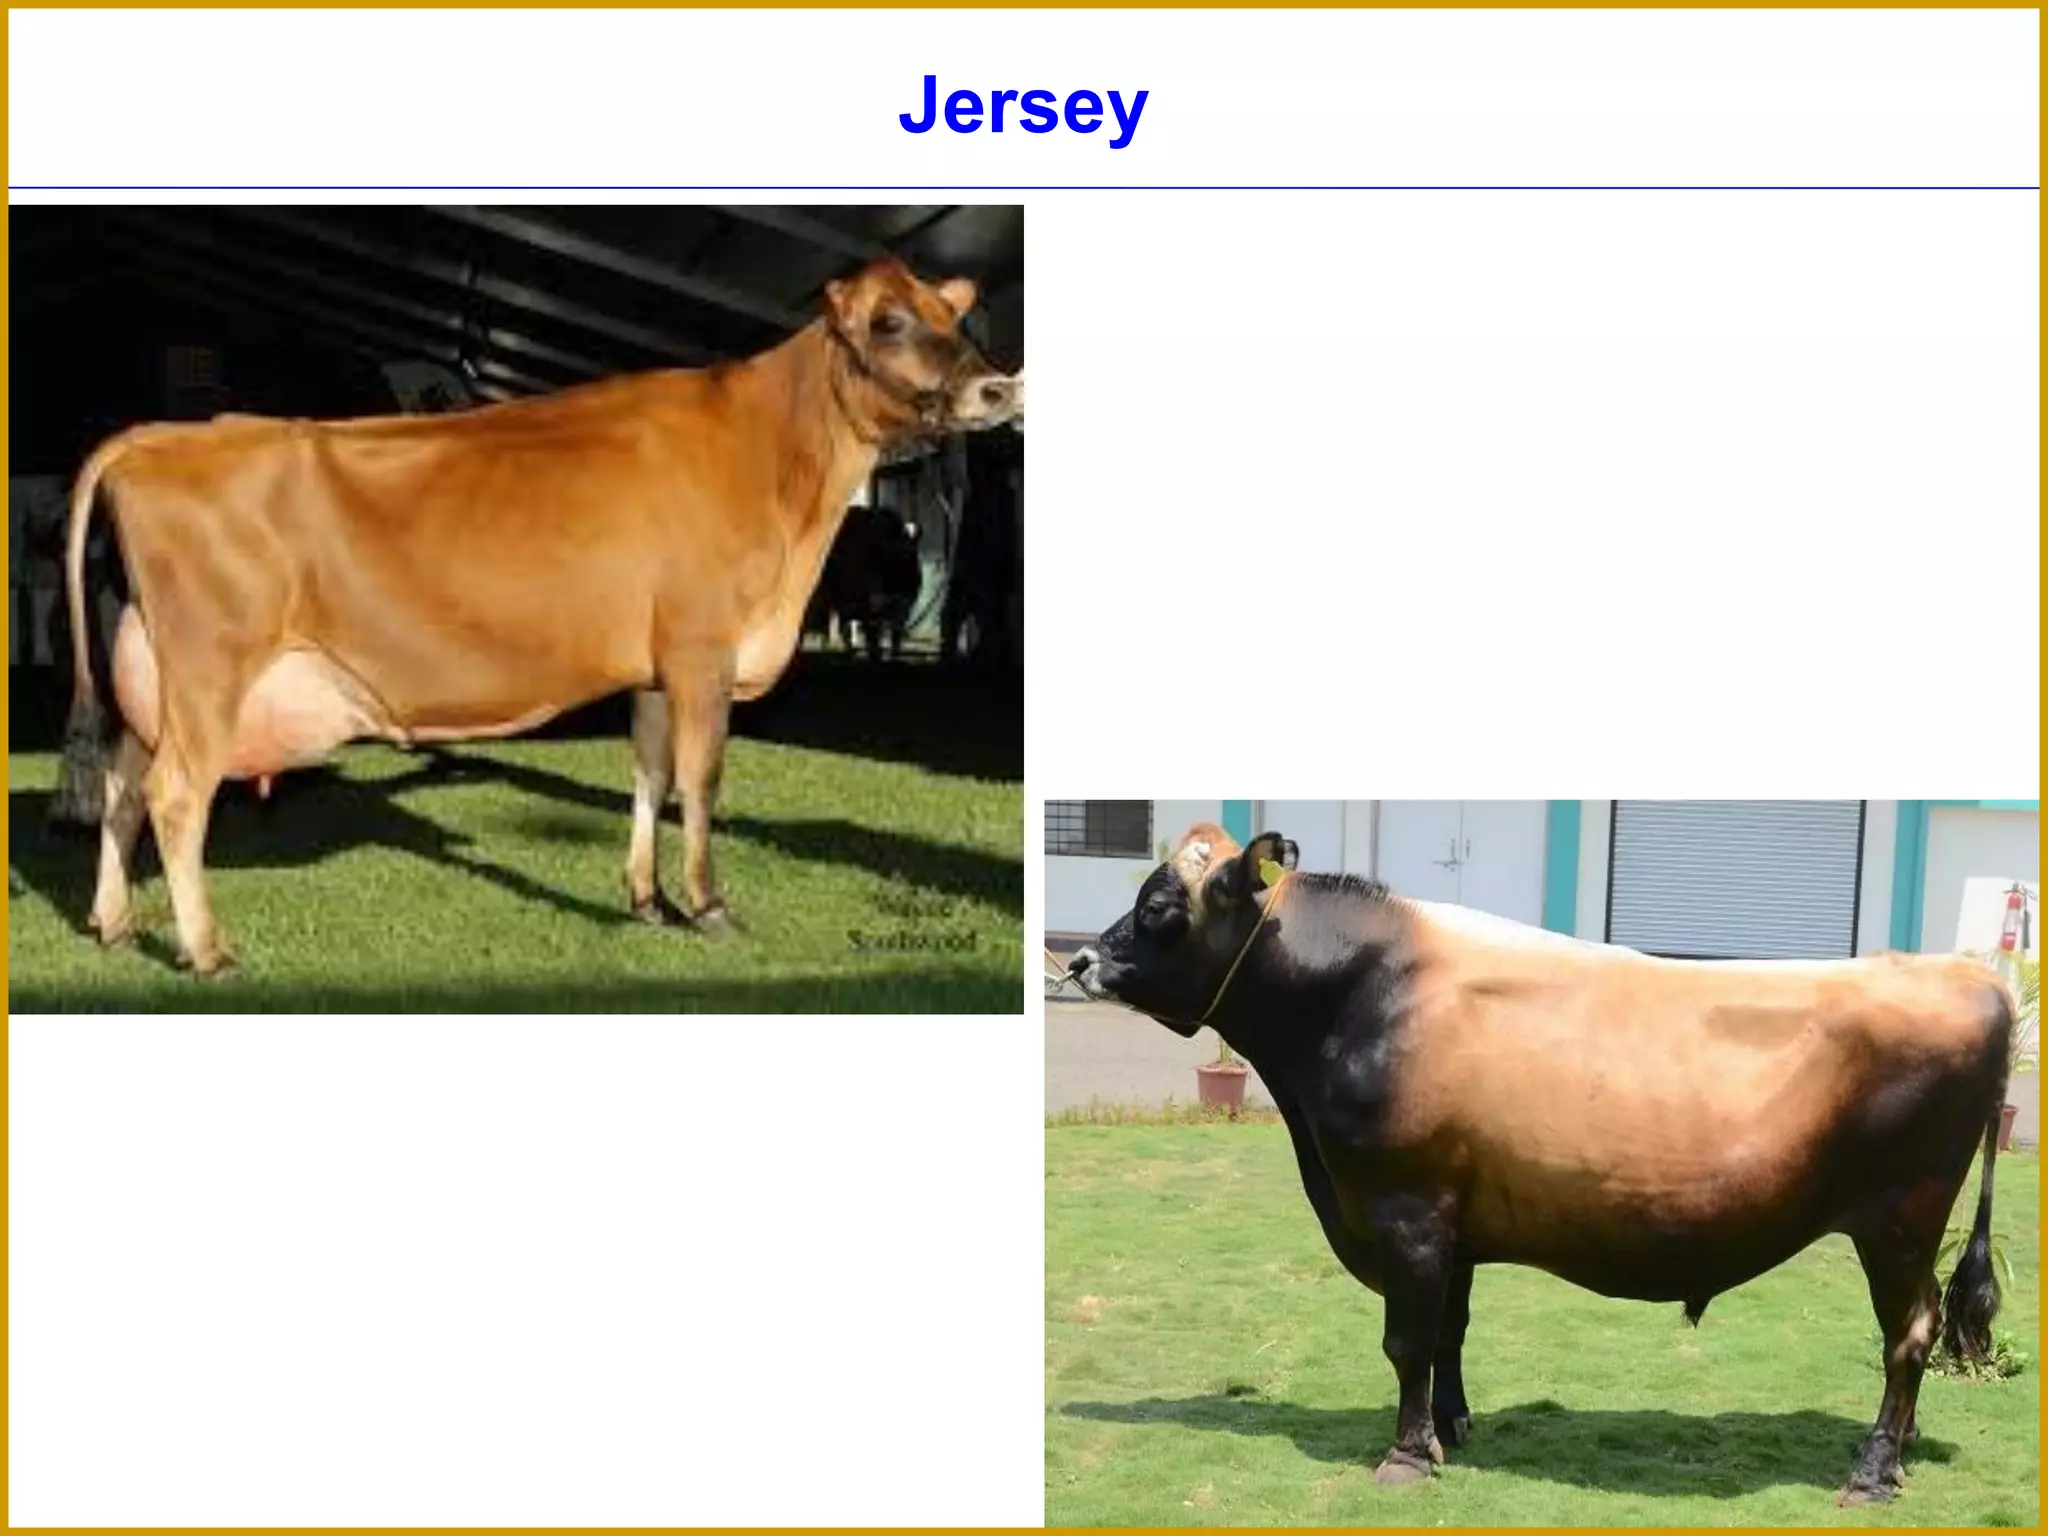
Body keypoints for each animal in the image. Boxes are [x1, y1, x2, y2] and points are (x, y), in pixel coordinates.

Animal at [51, 257, 1022, 975]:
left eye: (952, 314)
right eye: (889, 322)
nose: (998, 390)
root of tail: (161, 436)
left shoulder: (656, 667)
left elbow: (650, 776)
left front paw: (647, 900)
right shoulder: (702, 651)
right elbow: (702, 782)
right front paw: (708, 907)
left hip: (154, 679)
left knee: (122, 789)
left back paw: (115, 924)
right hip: (210, 671)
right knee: (177, 796)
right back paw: (207, 949)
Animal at [1066, 822, 2012, 1507]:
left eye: (1161, 905)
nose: (1078, 960)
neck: (1360, 997)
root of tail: (1974, 978)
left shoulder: (1404, 1207)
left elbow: (1406, 1338)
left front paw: (1407, 1456)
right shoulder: (1453, 1222)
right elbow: (1447, 1330)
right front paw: (1452, 1426)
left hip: (1900, 1214)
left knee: (1909, 1333)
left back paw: (1873, 1471)